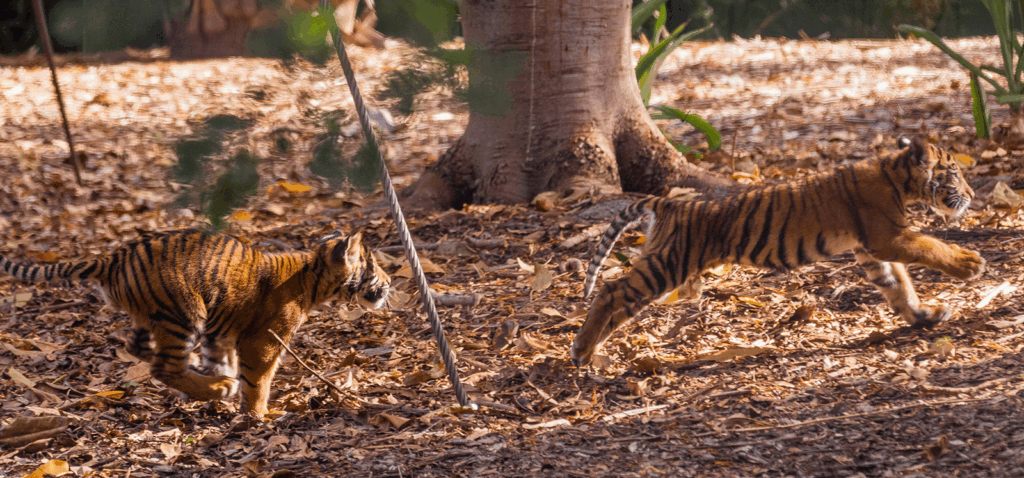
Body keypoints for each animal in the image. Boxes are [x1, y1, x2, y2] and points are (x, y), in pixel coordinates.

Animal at [0, 228, 390, 419]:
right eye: (372, 266)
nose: (389, 282)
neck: (312, 277)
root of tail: (112, 259)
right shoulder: (263, 341)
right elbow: (259, 381)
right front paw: (258, 414)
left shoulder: (223, 334)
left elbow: (223, 361)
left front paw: (224, 389)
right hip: (182, 312)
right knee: (163, 367)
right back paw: (216, 387)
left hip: (156, 315)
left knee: (138, 347)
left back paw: (213, 385)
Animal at [570, 137, 985, 367]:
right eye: (954, 173)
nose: (973, 195)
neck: (896, 174)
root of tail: (669, 204)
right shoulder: (888, 237)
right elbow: (930, 246)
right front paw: (969, 264)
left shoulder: (872, 251)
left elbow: (899, 287)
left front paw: (926, 315)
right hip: (669, 265)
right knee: (611, 290)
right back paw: (581, 349)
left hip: (659, 266)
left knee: (621, 303)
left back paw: (591, 350)